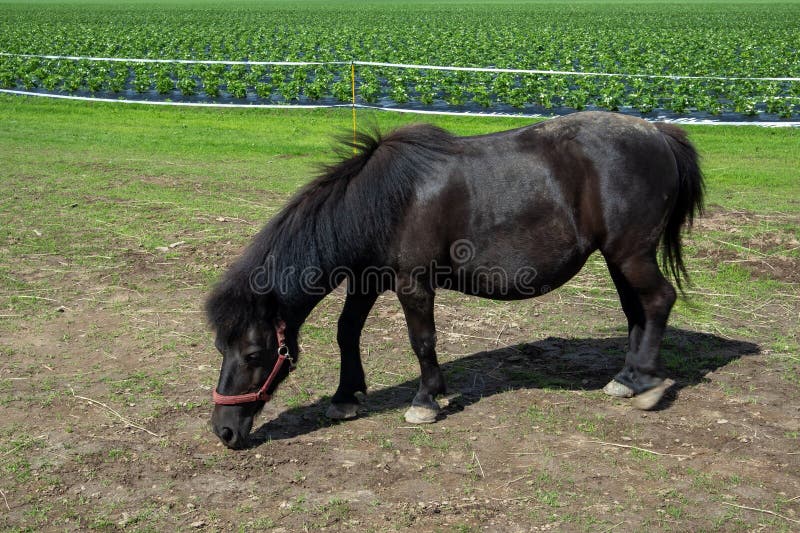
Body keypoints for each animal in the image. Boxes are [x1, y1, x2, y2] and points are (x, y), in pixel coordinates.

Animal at [206, 111, 704, 449]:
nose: (224, 431)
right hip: (620, 258)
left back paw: (646, 385)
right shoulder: (367, 279)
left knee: (658, 301)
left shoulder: (412, 284)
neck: (387, 200)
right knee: (636, 311)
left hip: (631, 253)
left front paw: (426, 401)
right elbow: (347, 333)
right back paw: (627, 377)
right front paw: (347, 396)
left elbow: (422, 340)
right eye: (221, 347)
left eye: (254, 353)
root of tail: (659, 133)